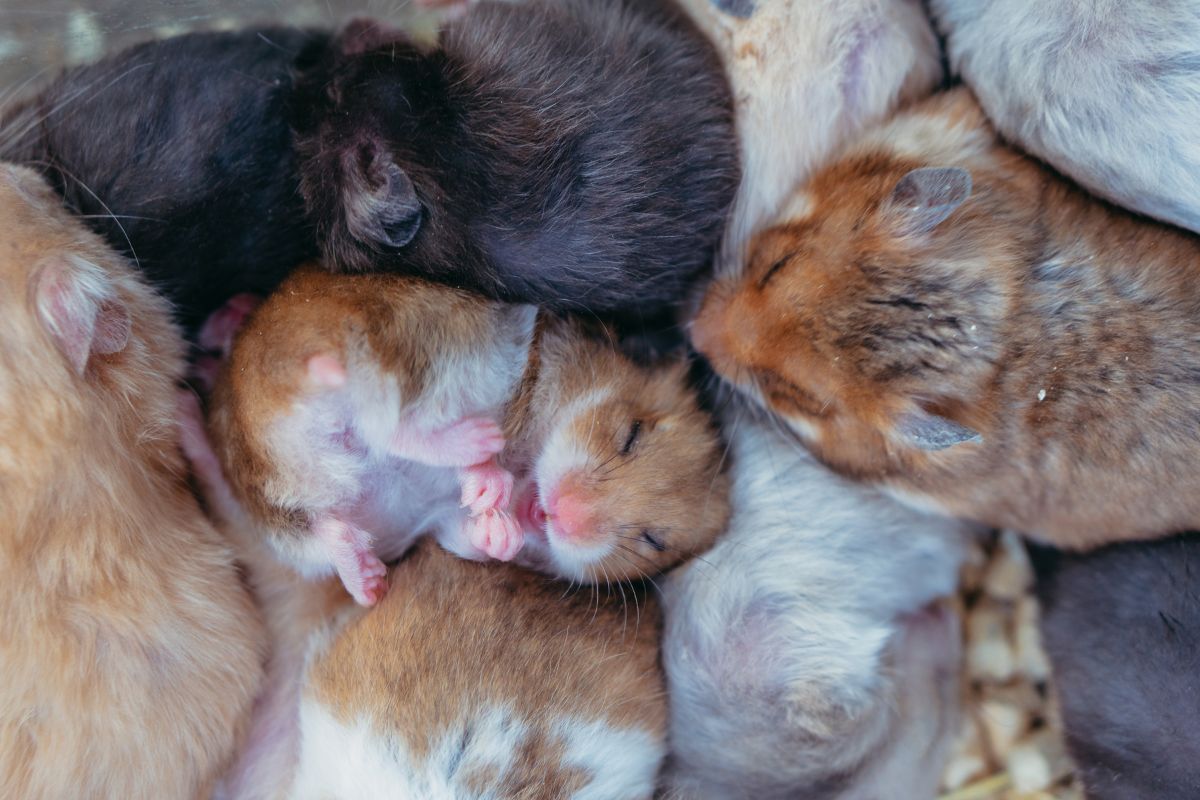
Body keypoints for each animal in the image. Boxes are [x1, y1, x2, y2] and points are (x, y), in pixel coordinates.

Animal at [205, 266, 729, 605]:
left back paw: (369, 580)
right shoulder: (527, 377)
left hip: (288, 513)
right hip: (435, 339)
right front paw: (495, 501)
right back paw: (480, 458)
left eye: (653, 541)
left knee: (331, 524)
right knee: (391, 423)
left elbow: (469, 537)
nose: (564, 514)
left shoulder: (439, 527)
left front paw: (500, 532)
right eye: (631, 435)